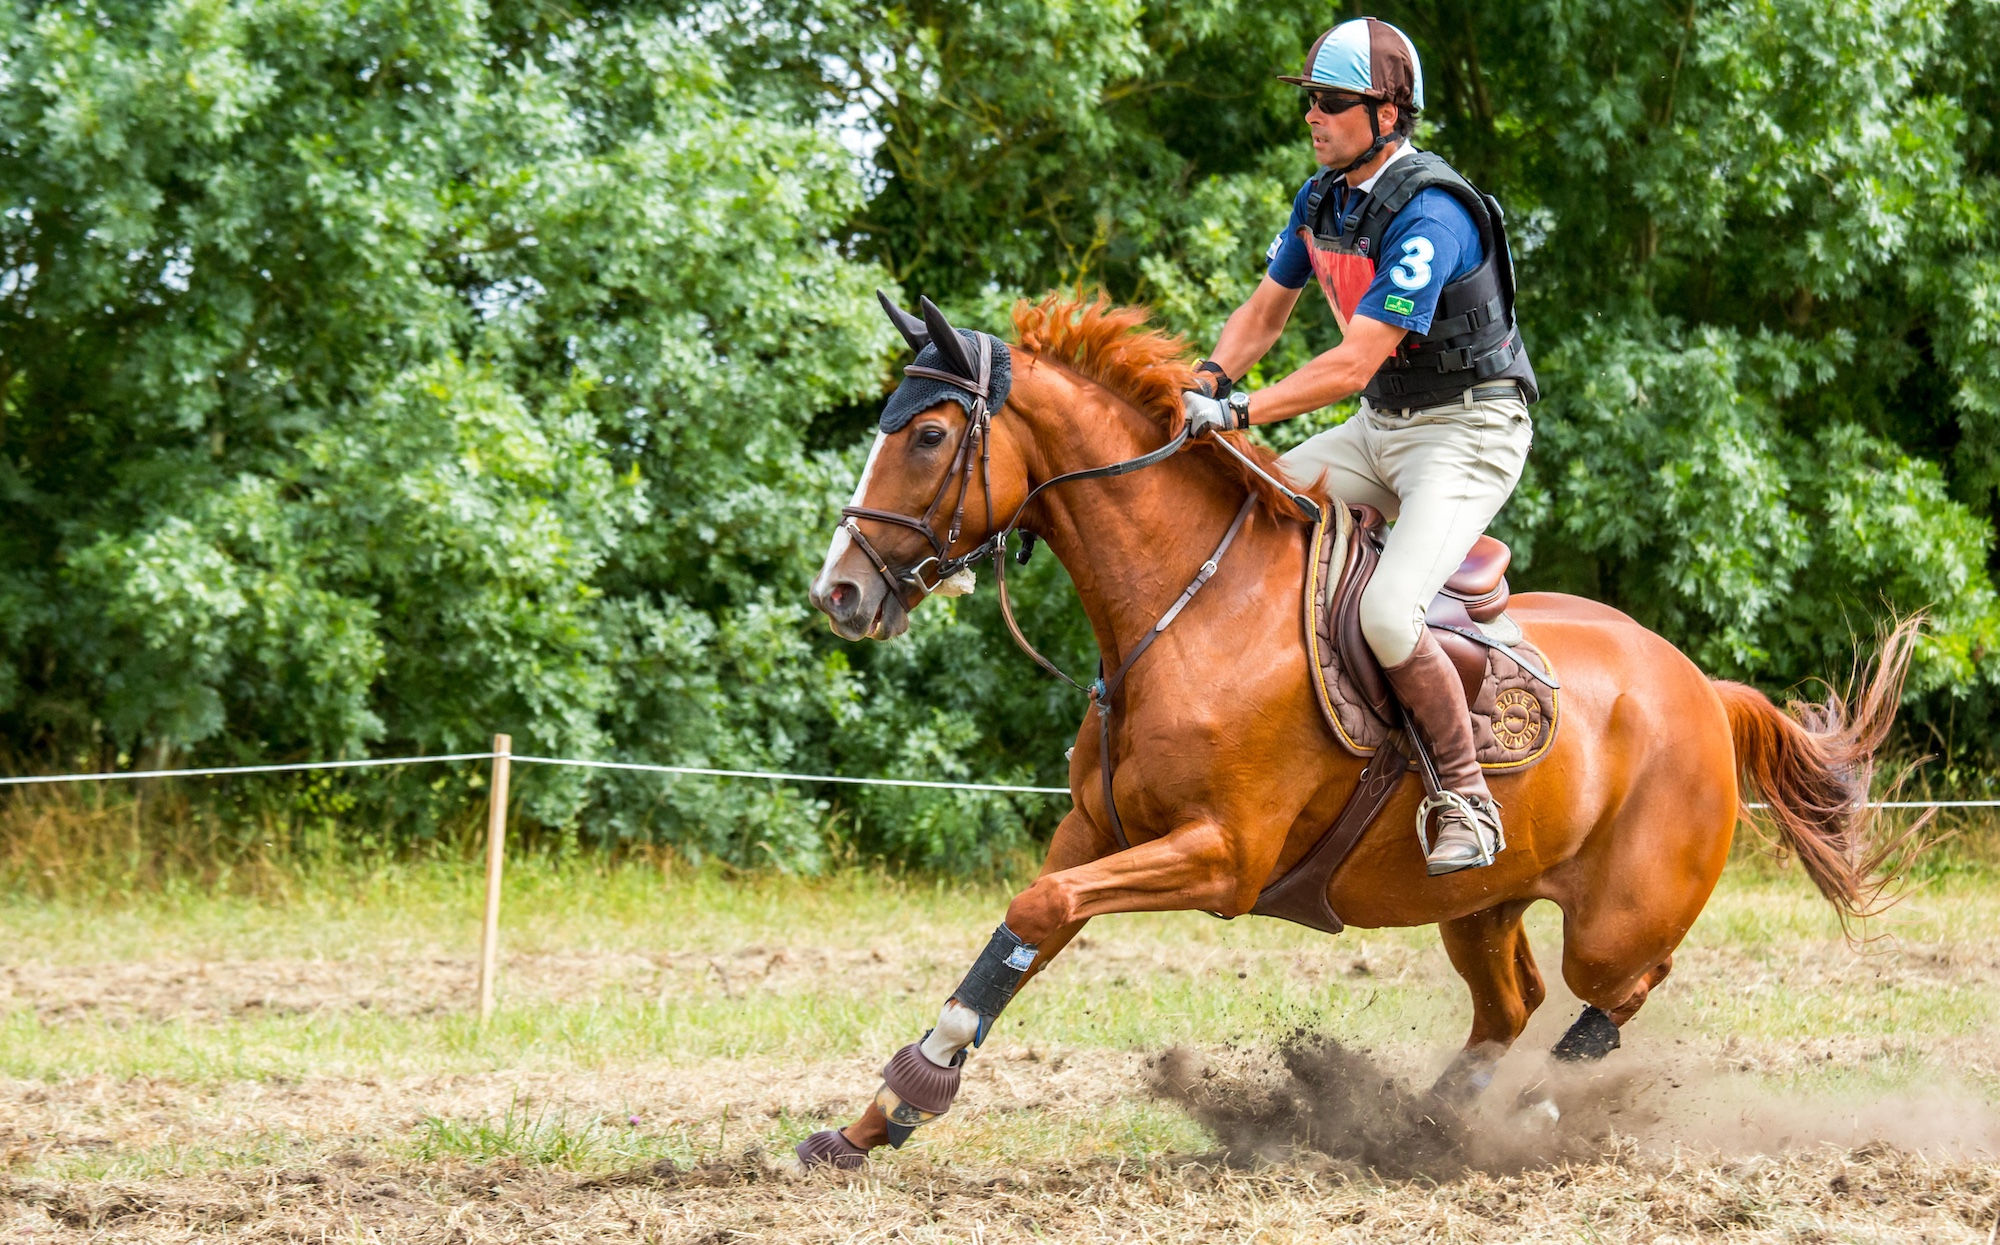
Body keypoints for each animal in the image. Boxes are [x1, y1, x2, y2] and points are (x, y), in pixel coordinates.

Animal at [800, 292, 1917, 1167]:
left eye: (928, 437)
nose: (839, 592)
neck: (1188, 604)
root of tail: (1702, 688)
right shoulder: (1094, 833)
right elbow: (1022, 932)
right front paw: (874, 1122)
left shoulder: (1222, 856)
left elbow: (1036, 914)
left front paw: (906, 1101)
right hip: (1479, 900)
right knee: (1509, 1002)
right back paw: (1425, 1127)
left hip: (1618, 917)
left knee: (1618, 988)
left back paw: (1537, 1110)